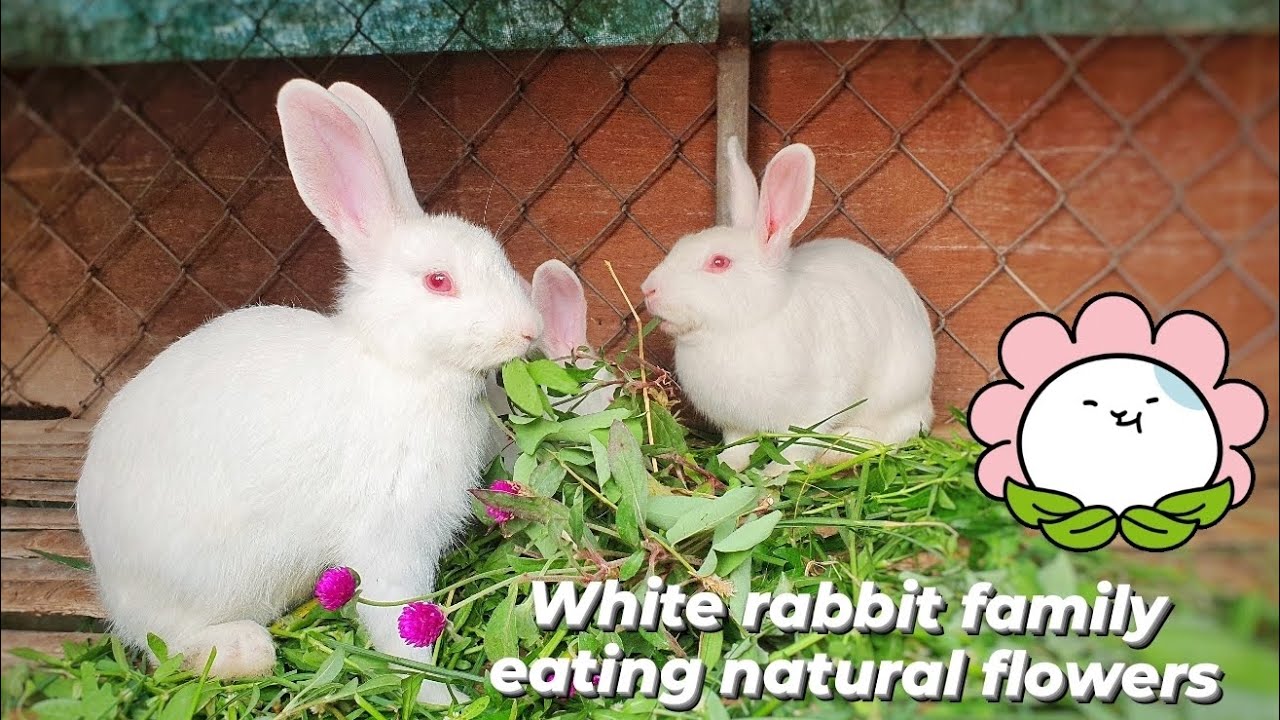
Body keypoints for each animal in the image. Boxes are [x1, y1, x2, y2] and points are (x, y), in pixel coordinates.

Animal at [74, 78, 541, 706]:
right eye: (439, 281)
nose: (530, 329)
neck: (398, 366)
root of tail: (108, 575)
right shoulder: (388, 537)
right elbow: (400, 627)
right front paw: (446, 699)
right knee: (170, 646)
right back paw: (244, 648)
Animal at [639, 137, 935, 476]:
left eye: (719, 262)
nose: (648, 289)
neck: (743, 327)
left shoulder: (813, 415)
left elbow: (797, 449)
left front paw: (771, 476)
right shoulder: (736, 424)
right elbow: (738, 446)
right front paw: (728, 465)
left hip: (895, 398)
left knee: (890, 436)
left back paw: (837, 451)